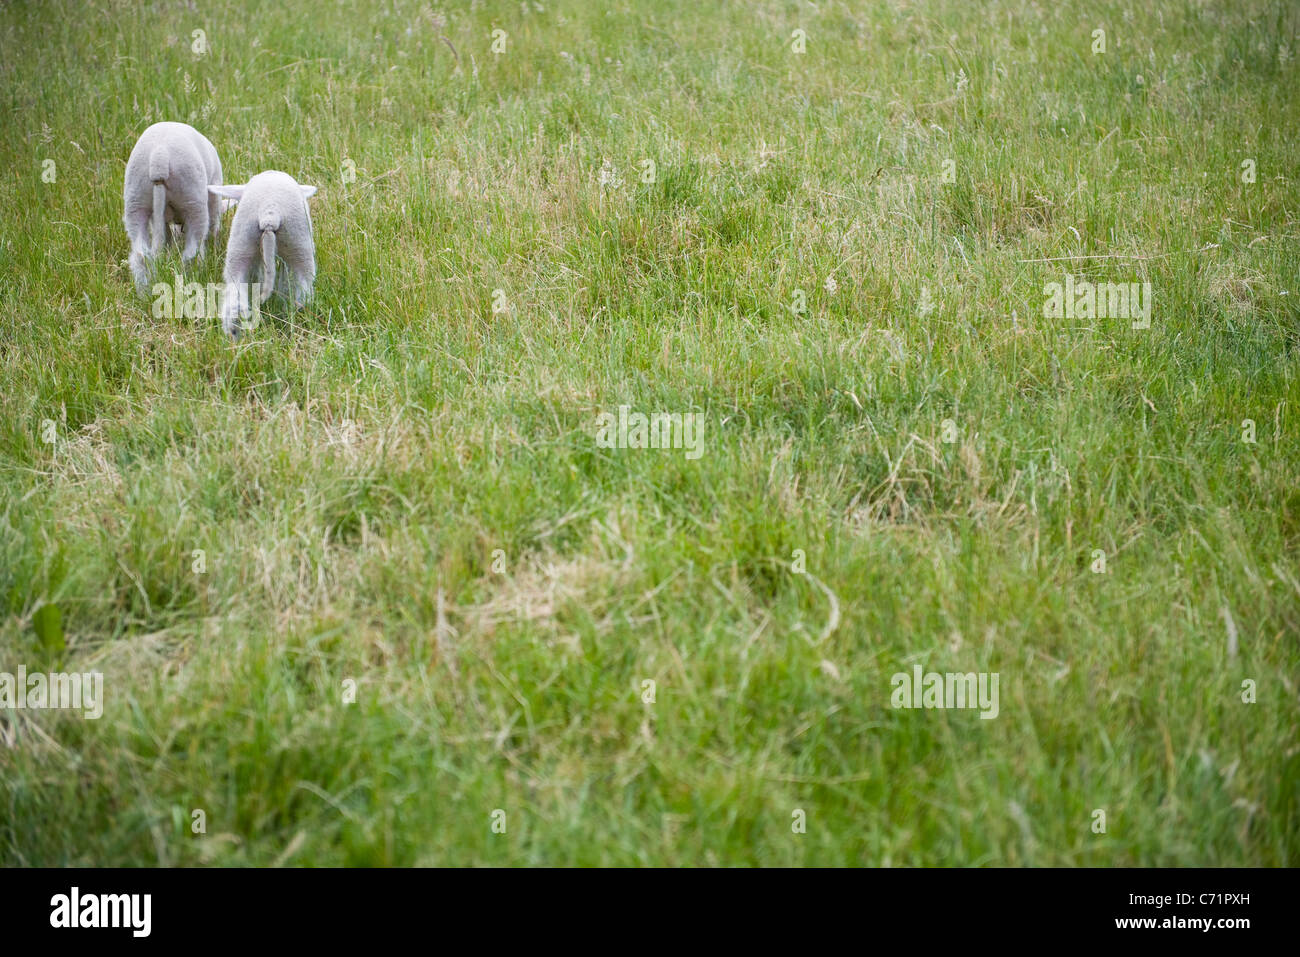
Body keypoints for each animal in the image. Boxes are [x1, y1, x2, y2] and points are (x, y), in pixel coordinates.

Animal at [122, 122, 224, 293]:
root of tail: (159, 156)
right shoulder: (214, 191)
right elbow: (214, 226)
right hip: (193, 199)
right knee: (192, 252)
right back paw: (194, 277)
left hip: (135, 200)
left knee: (141, 254)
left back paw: (144, 291)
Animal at [208, 171, 318, 337]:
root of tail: (270, 213)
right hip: (298, 242)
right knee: (304, 286)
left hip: (244, 241)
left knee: (235, 294)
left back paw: (234, 332)